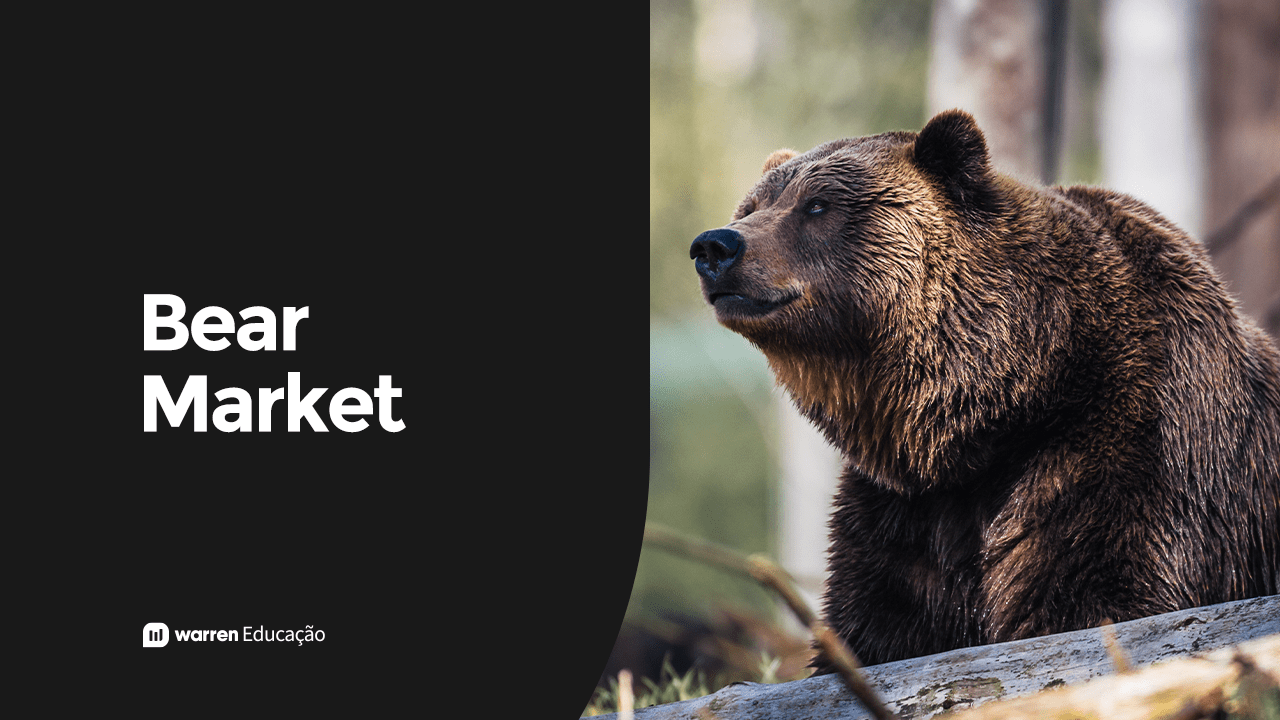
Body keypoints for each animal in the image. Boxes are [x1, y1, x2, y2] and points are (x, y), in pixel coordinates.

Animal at [689, 109, 1280, 672]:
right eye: (753, 205)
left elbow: (1097, 594)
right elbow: (878, 624)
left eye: (817, 205)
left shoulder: (1131, 450)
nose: (715, 244)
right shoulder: (907, 513)